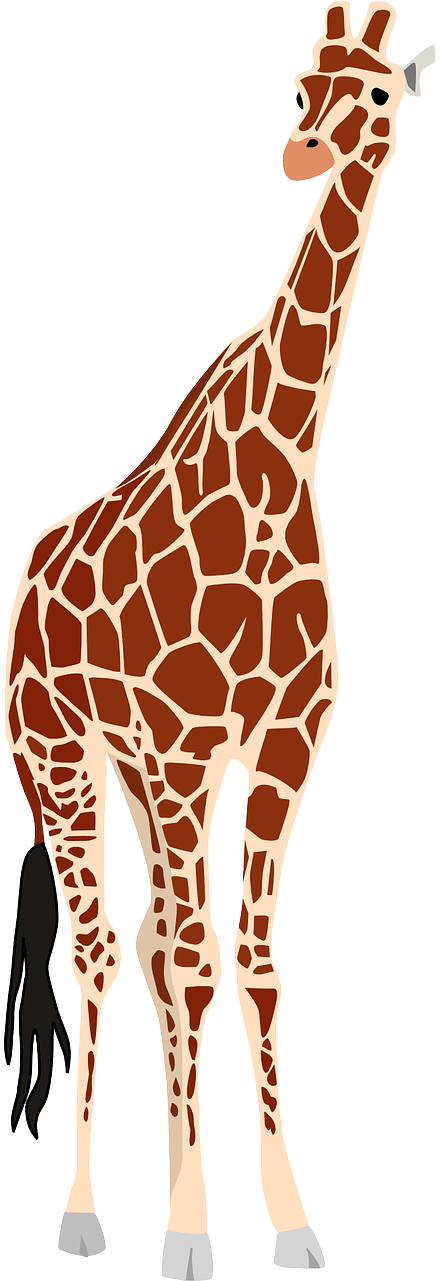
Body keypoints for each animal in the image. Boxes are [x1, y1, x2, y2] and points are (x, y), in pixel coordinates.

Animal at [3, 3, 435, 1274]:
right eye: (299, 82)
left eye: (377, 96)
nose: (302, 155)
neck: (286, 458)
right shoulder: (192, 746)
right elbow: (197, 961)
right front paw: (189, 1233)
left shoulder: (282, 747)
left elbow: (253, 963)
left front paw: (288, 1222)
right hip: (64, 760)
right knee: (104, 953)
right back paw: (88, 1216)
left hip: (137, 774)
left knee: (148, 944)